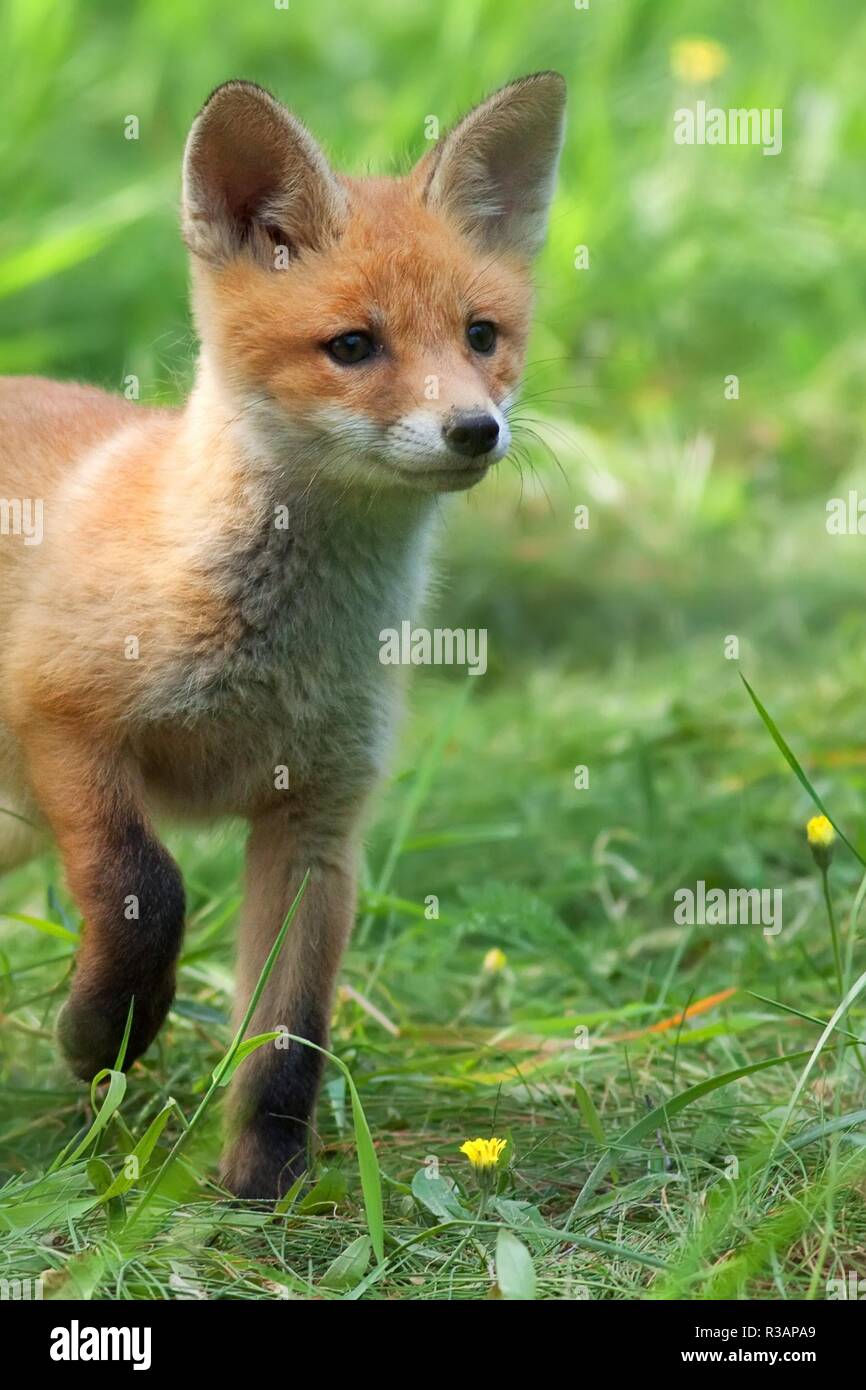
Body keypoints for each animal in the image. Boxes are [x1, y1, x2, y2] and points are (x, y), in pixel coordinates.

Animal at [0, 74, 566, 1198]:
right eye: (352, 346)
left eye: (481, 335)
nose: (475, 430)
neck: (277, 656)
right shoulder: (59, 716)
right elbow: (144, 886)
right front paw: (101, 1032)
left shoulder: (318, 820)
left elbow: (289, 1039)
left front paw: (261, 1188)